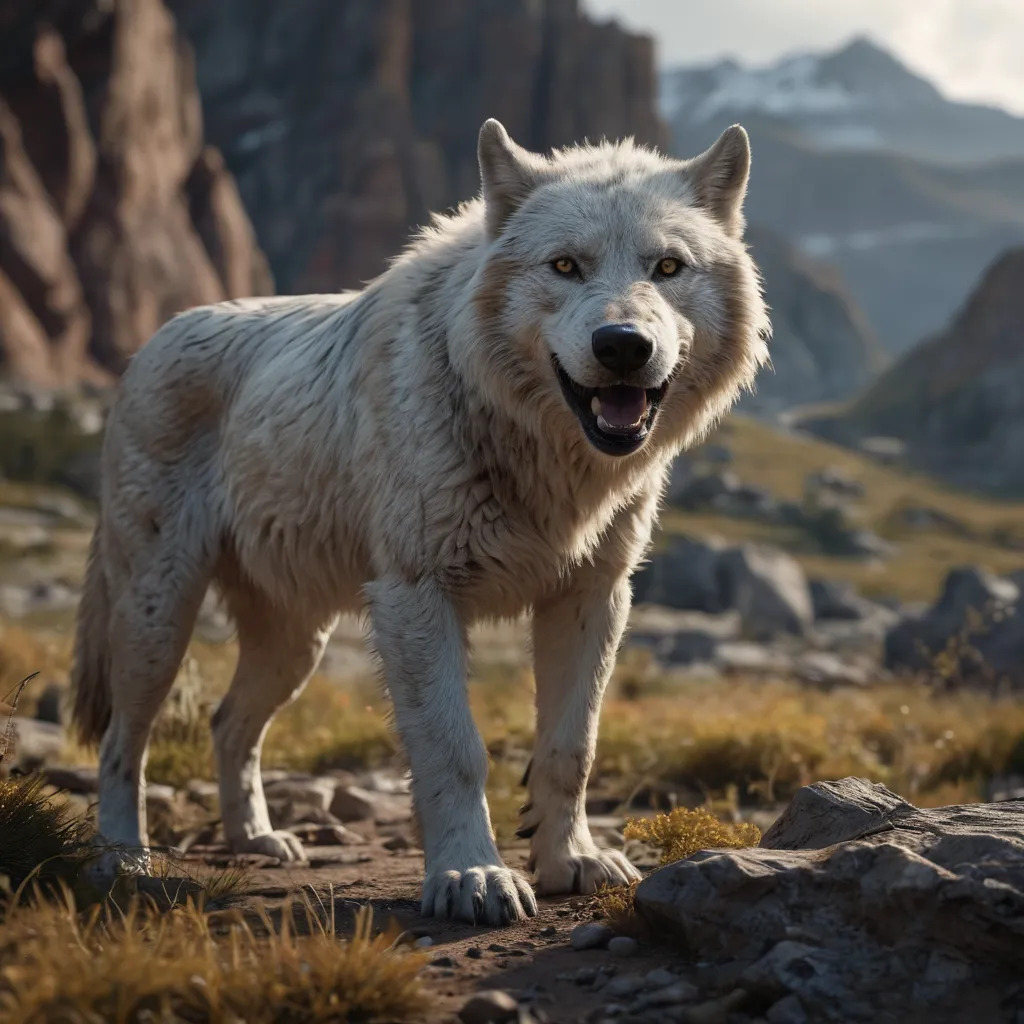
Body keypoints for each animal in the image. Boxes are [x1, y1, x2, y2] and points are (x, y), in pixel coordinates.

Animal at [71, 118, 769, 926]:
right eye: (565, 265)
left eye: (668, 266)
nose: (623, 344)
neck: (536, 451)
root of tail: (151, 342)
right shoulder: (417, 596)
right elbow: (454, 749)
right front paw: (473, 877)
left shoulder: (591, 597)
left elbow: (572, 747)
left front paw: (572, 860)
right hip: (159, 619)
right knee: (123, 741)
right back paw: (122, 856)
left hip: (295, 644)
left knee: (227, 724)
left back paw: (257, 840)